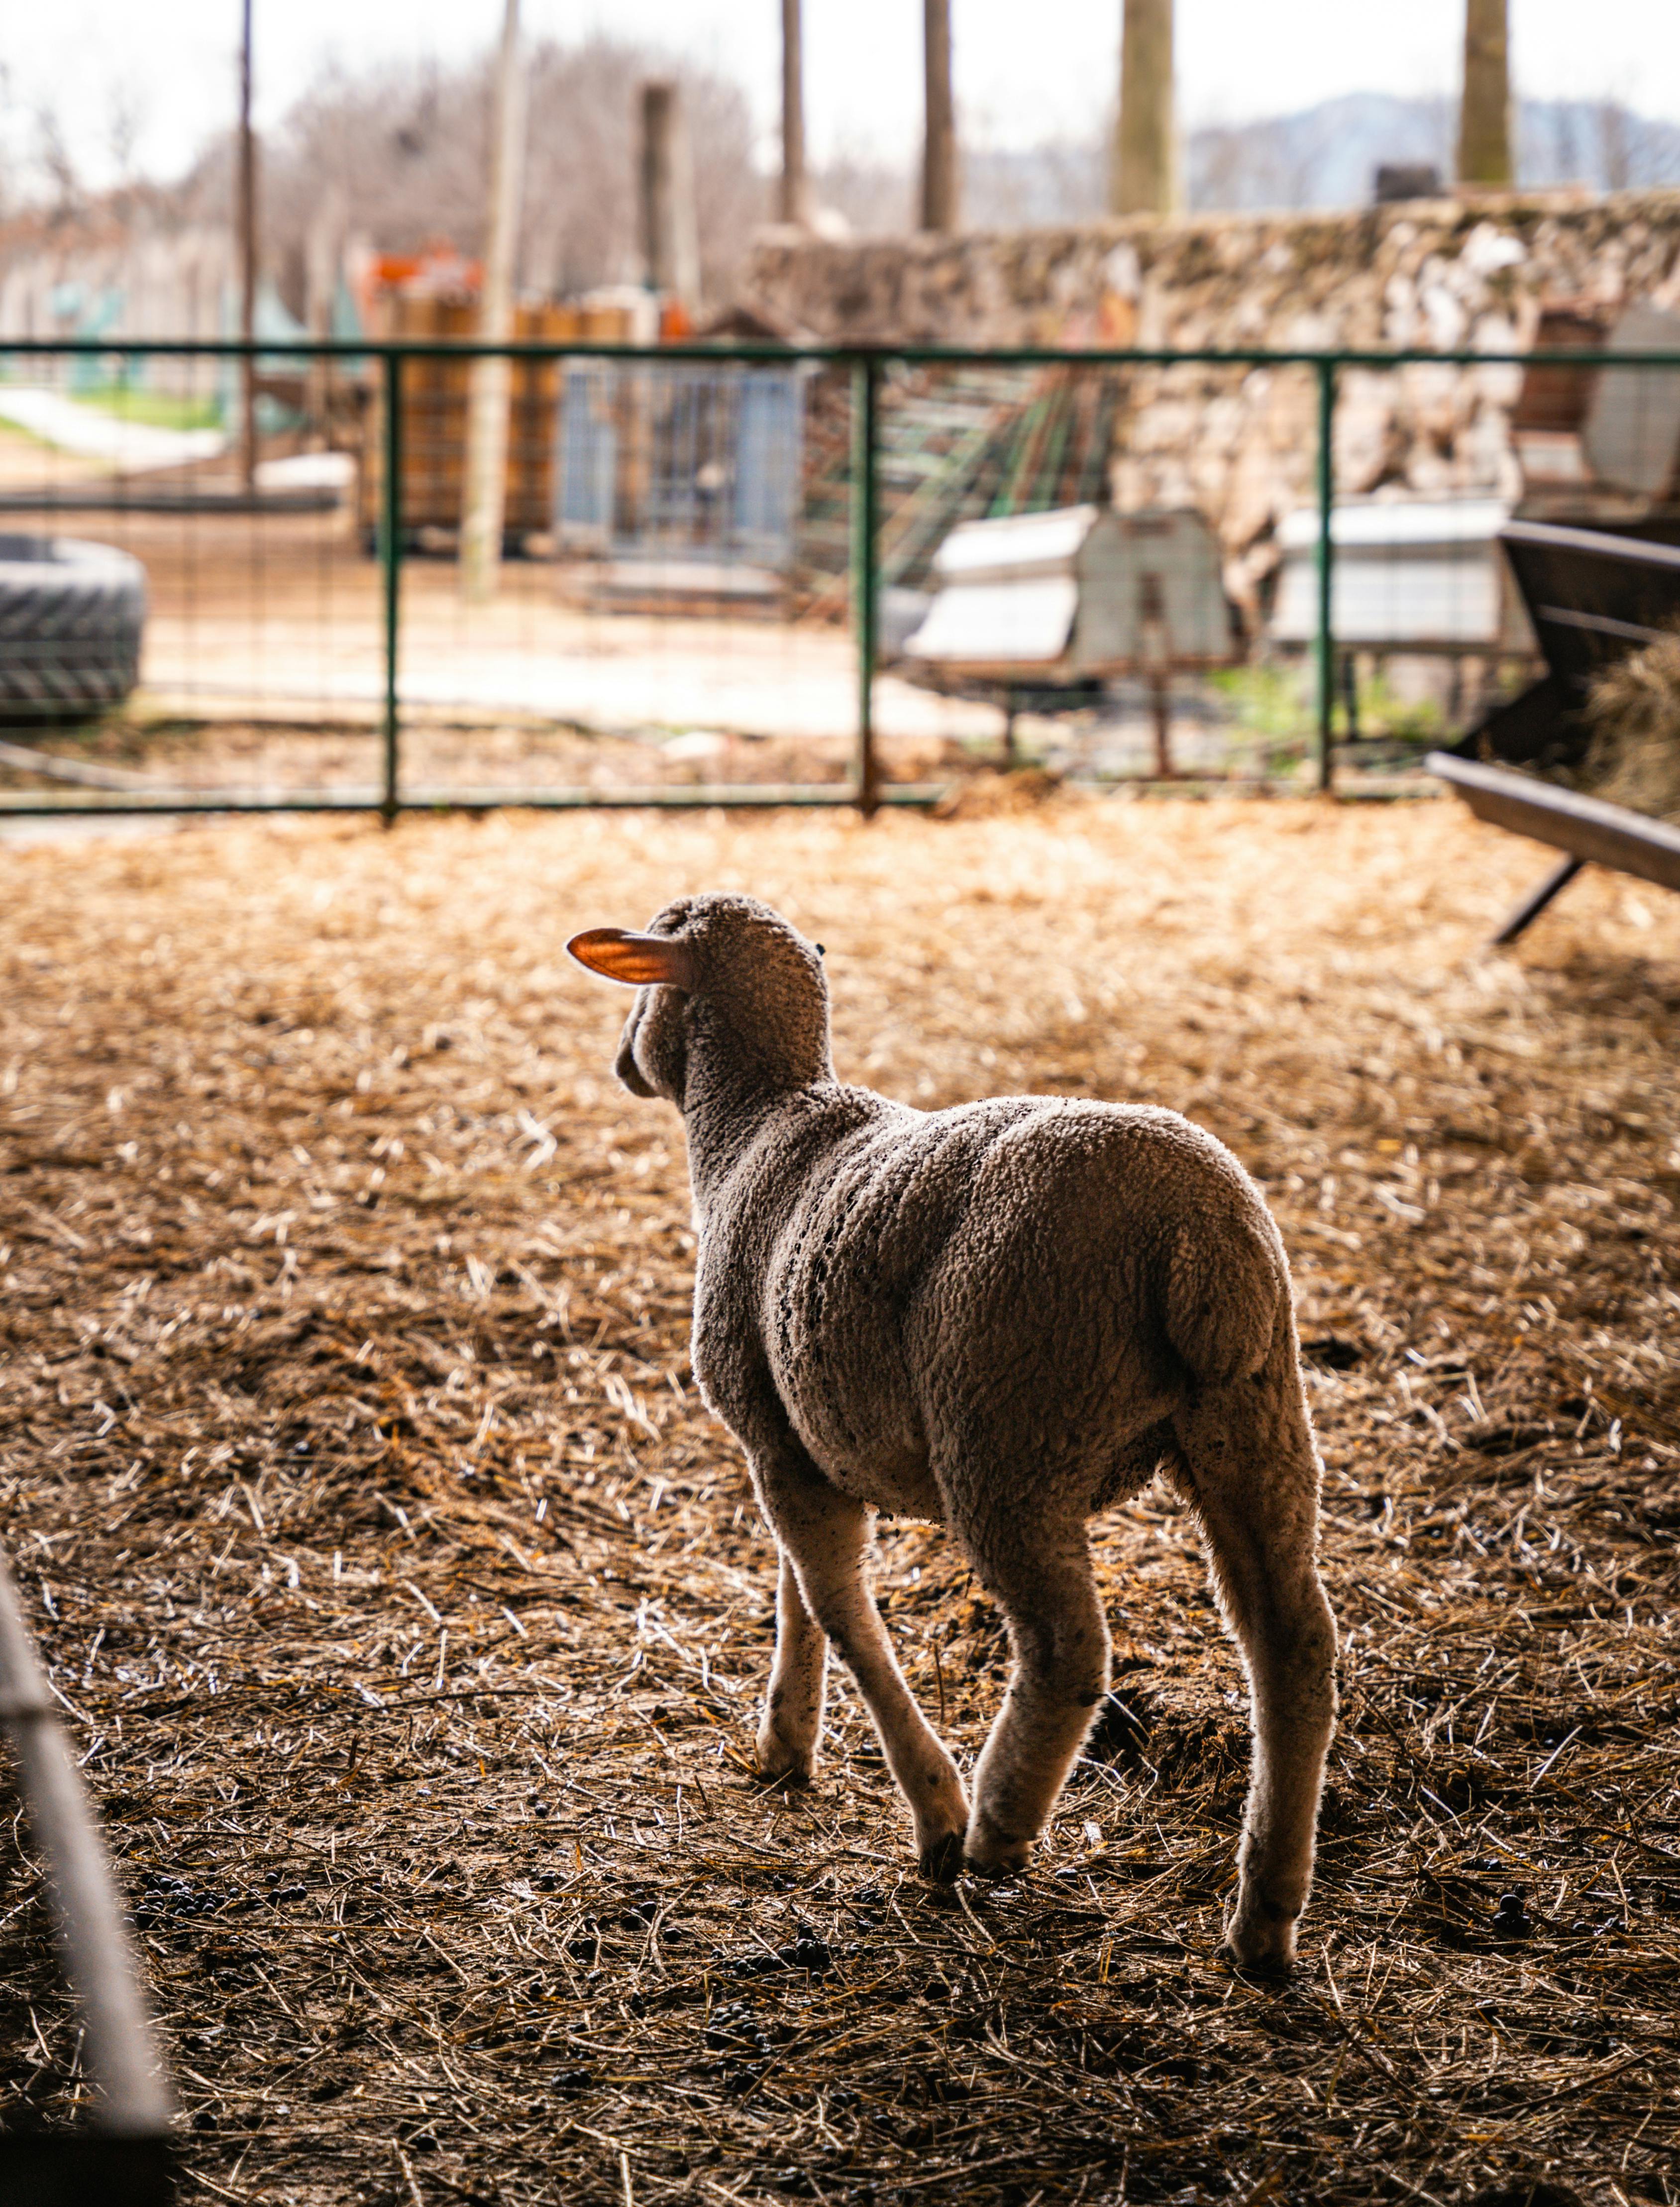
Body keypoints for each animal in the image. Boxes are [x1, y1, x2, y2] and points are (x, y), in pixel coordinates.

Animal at [568, 893, 1337, 1970]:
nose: (621, 1063)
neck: (755, 1123)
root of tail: (1196, 1235)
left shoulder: (773, 1435)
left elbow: (838, 1607)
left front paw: (931, 1812)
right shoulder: (793, 1437)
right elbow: (798, 1595)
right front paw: (784, 1743)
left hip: (1005, 1427)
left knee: (1066, 1647)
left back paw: (996, 1829)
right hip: (1254, 1419)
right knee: (1293, 1643)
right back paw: (1263, 1917)